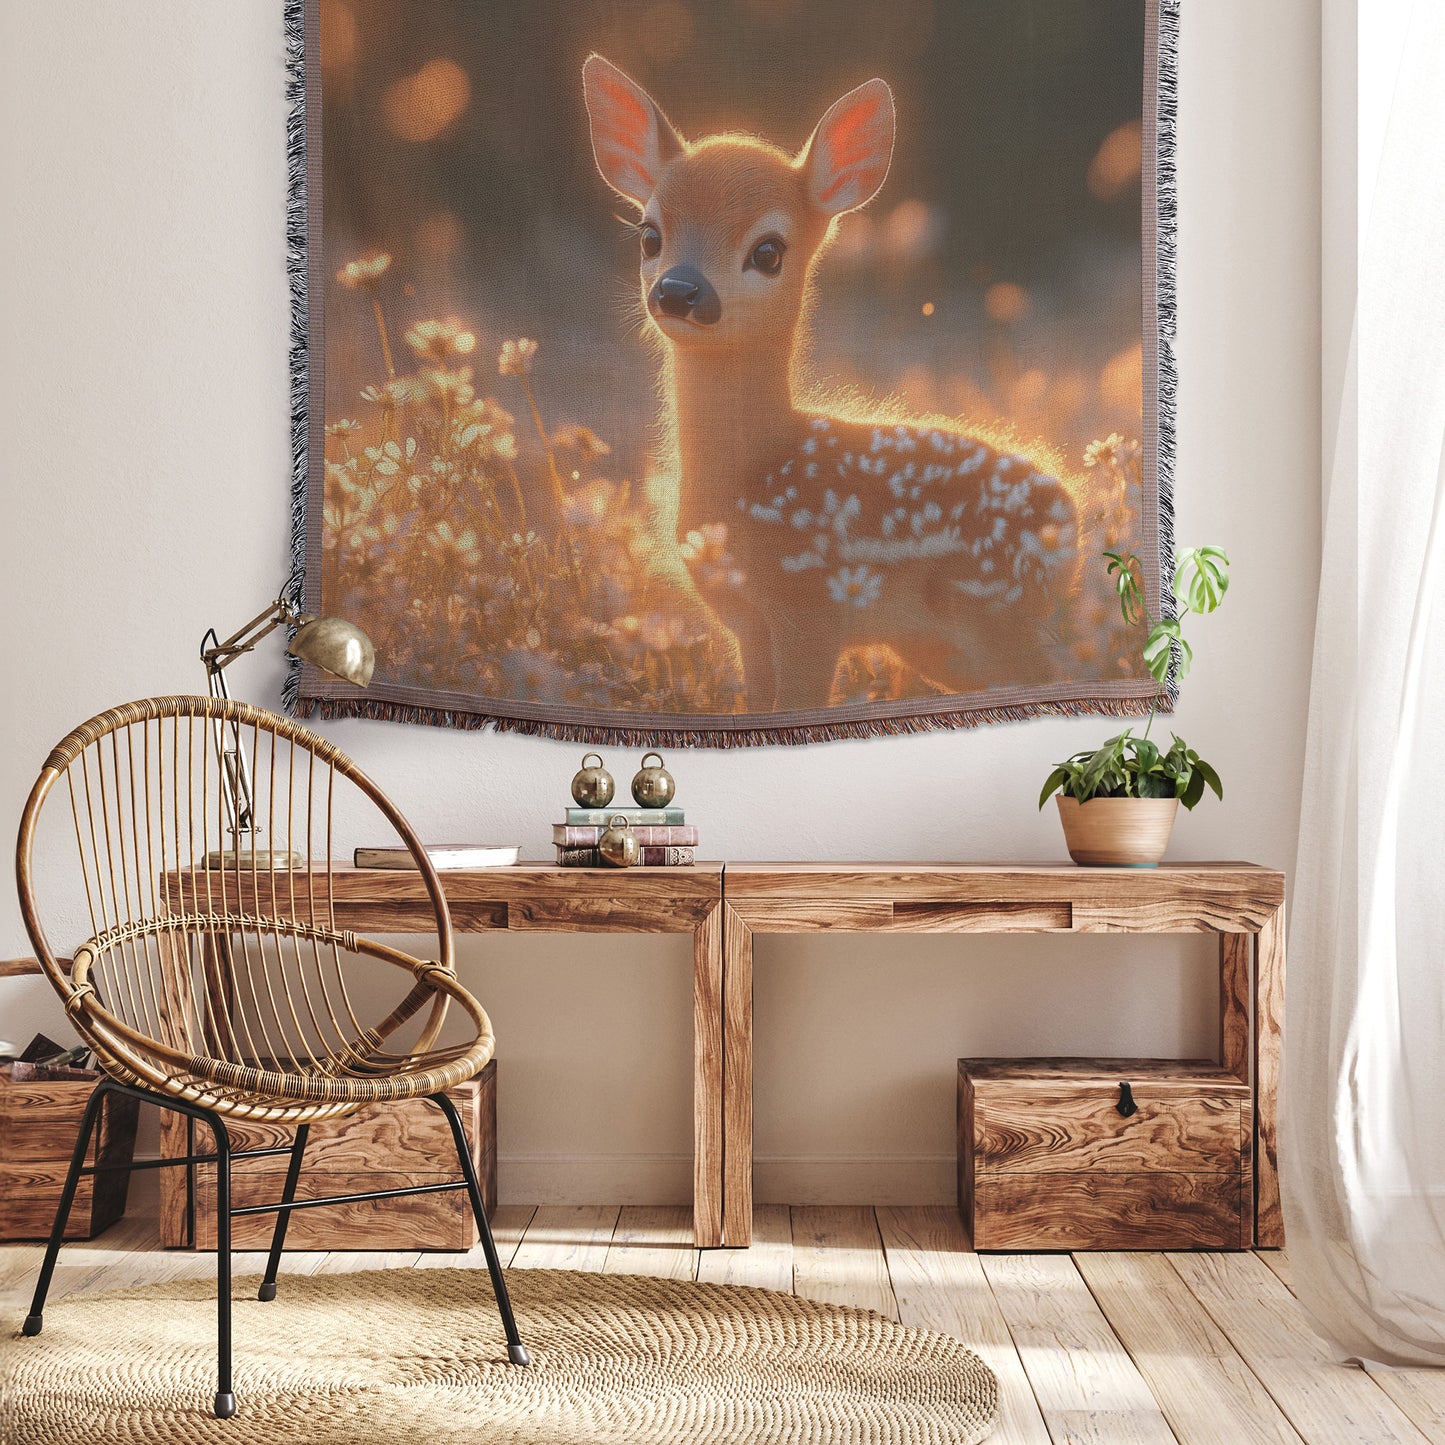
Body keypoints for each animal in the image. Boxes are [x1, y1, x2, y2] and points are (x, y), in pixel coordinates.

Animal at [582, 55, 1080, 713]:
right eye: (650, 235)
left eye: (768, 250)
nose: (680, 290)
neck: (750, 473)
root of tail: (1073, 528)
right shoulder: (749, 623)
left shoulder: (809, 603)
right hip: (941, 644)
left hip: (995, 608)